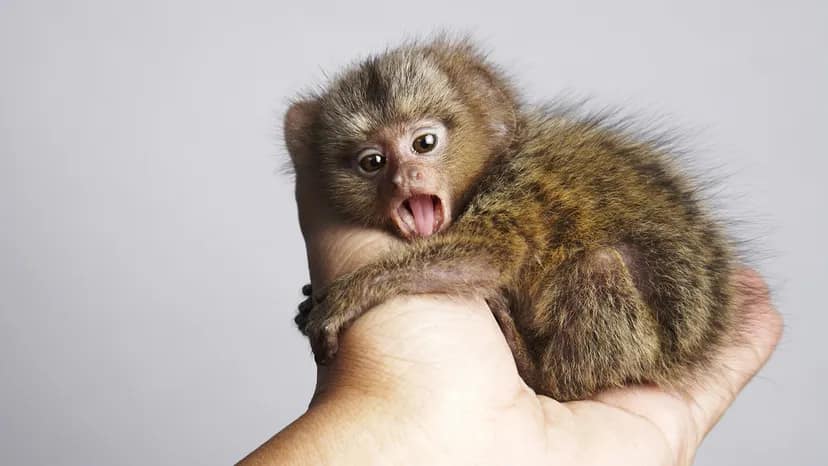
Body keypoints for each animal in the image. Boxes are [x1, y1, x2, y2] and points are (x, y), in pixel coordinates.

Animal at [284, 37, 739, 401]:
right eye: (372, 163)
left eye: (424, 143)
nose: (404, 178)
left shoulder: (518, 187)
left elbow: (489, 255)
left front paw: (351, 294)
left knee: (600, 266)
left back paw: (537, 373)